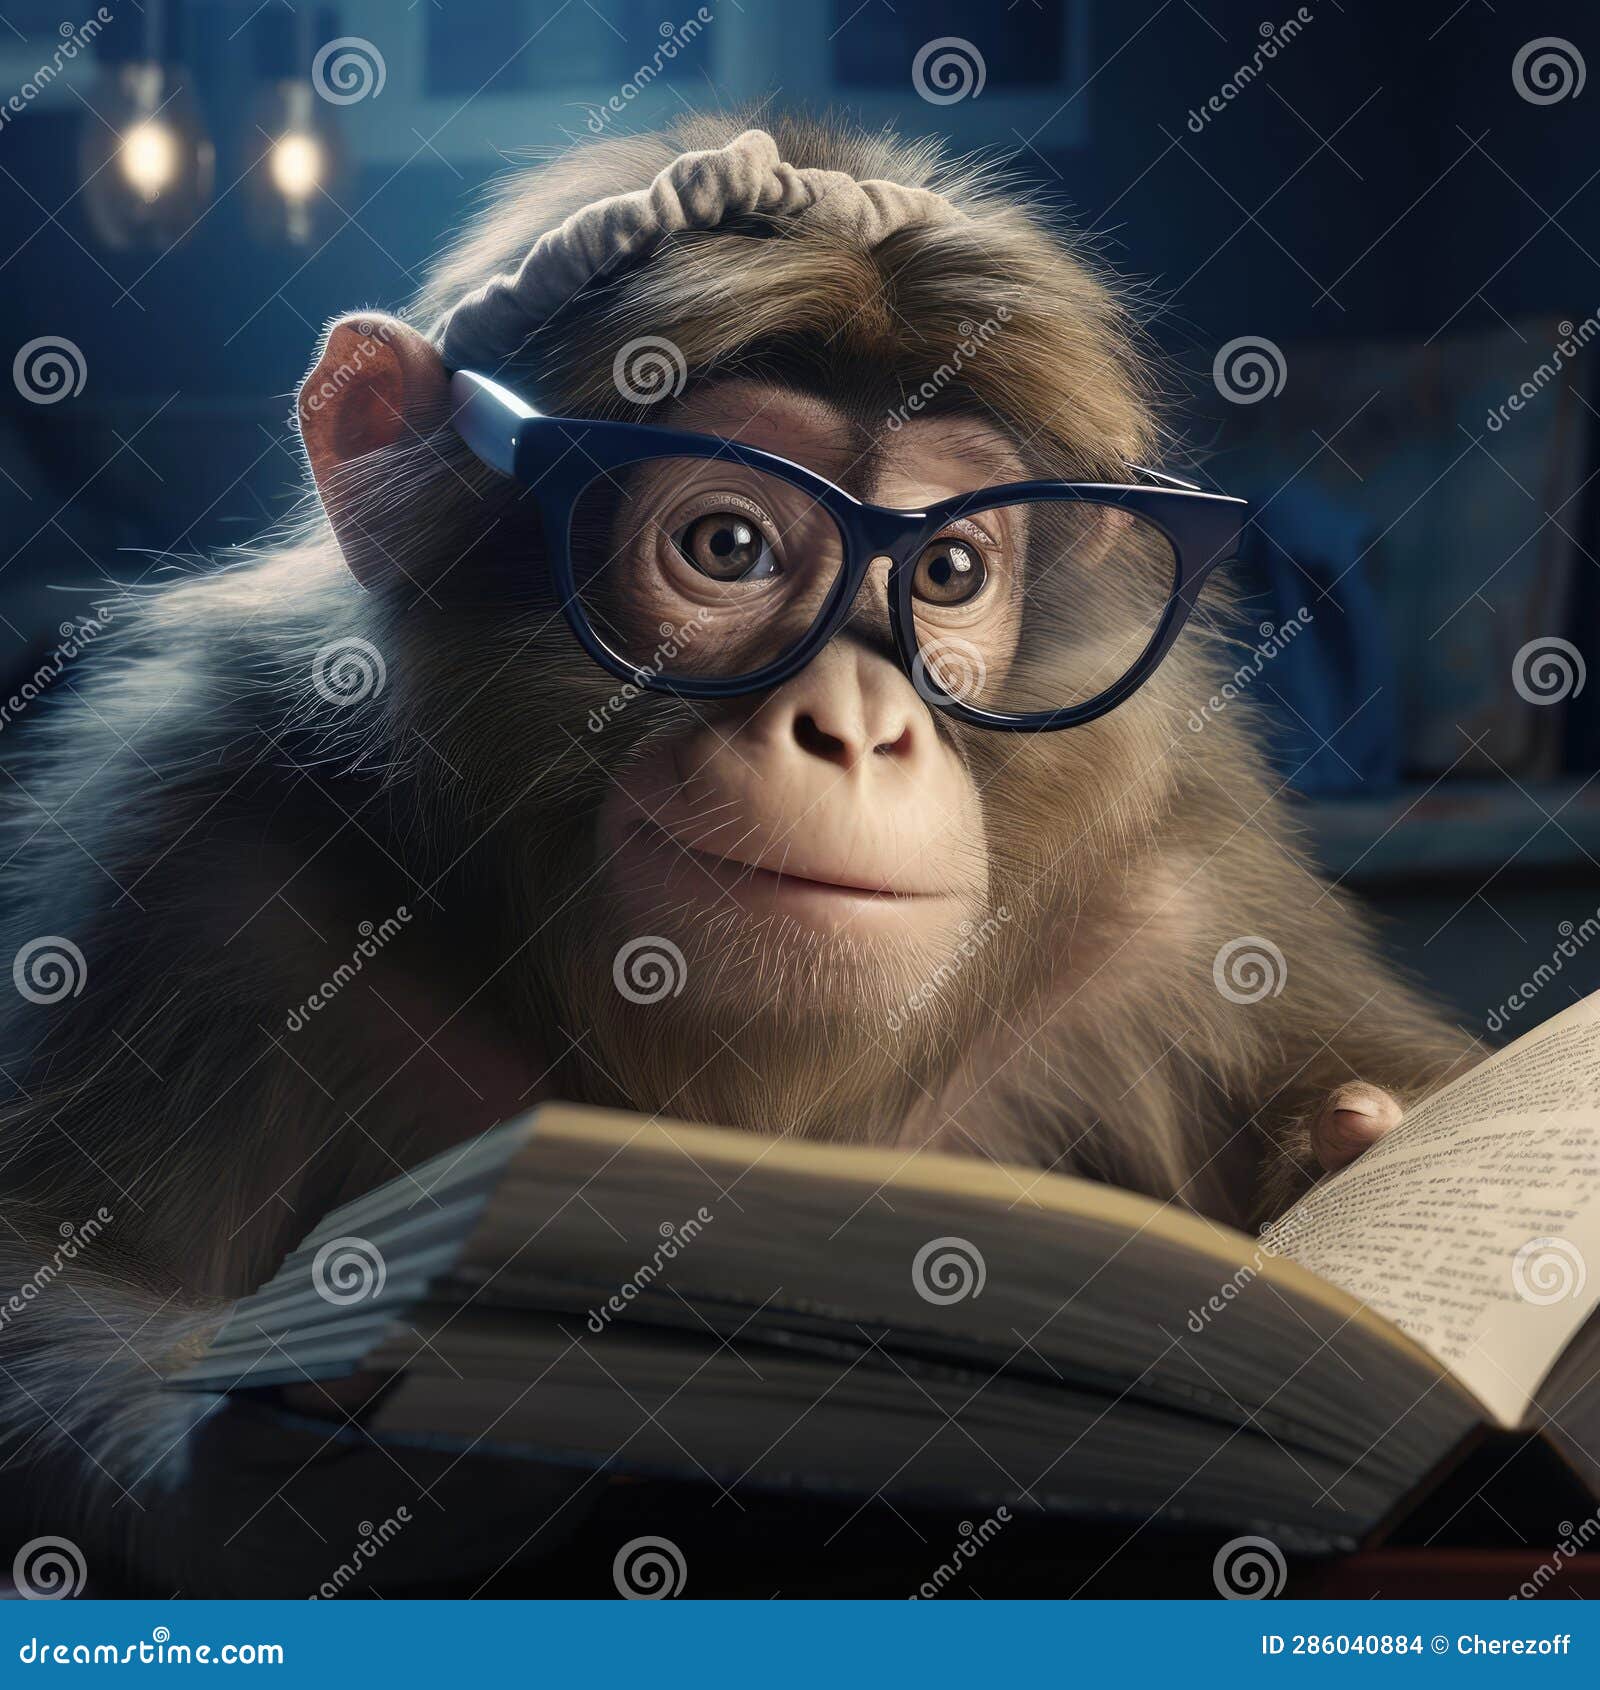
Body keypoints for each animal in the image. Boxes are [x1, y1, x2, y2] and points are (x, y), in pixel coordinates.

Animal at [0, 114, 1472, 1594]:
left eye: (946, 574)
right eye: (728, 543)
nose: (857, 726)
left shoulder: (1192, 907)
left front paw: (1344, 1160)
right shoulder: (190, 856)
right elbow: (56, 1280)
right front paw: (286, 1465)